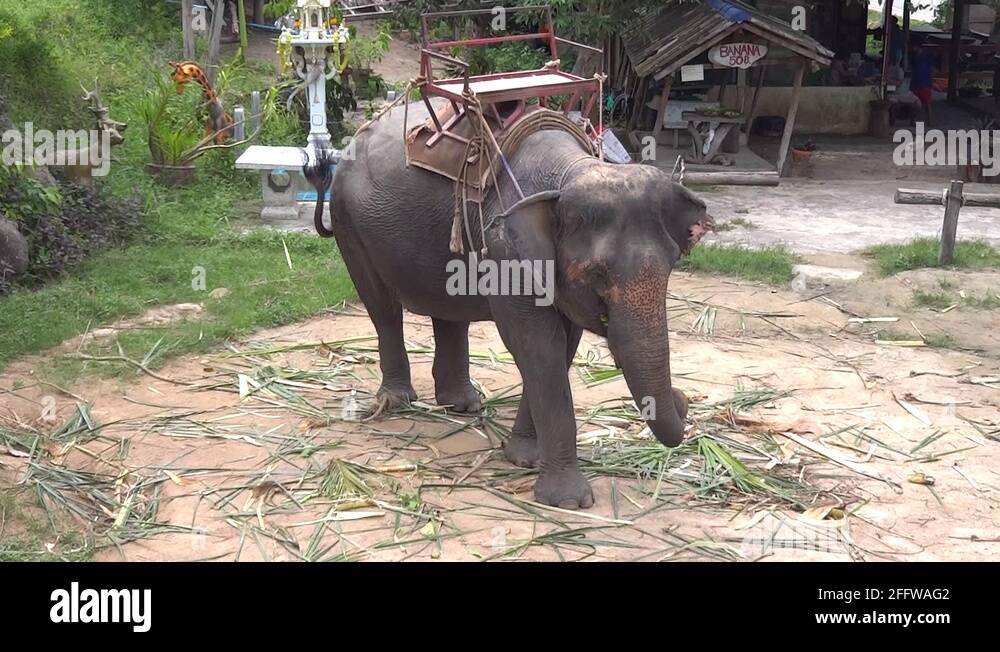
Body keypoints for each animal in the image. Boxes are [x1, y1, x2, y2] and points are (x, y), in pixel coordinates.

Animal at [305, 101, 712, 509]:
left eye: (673, 263)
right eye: (596, 274)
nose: (683, 400)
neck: (570, 170)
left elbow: (562, 346)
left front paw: (525, 459)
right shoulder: (506, 249)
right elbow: (537, 345)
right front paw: (567, 501)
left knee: (448, 310)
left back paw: (461, 405)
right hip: (349, 225)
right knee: (383, 308)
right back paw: (397, 402)